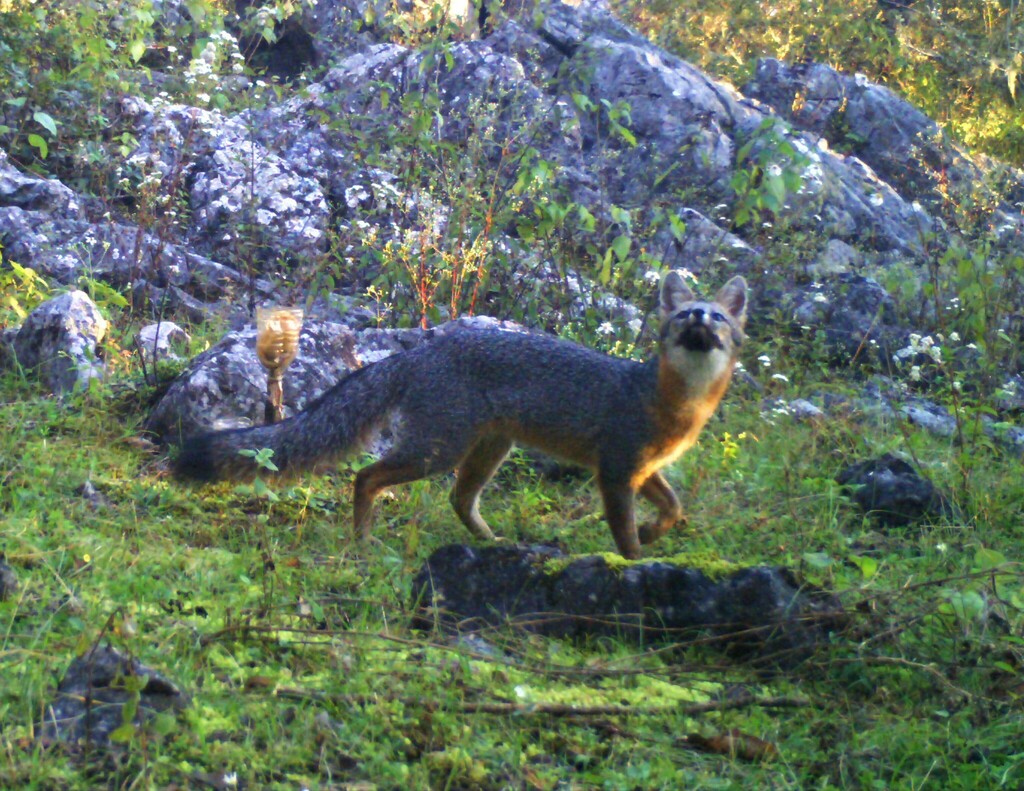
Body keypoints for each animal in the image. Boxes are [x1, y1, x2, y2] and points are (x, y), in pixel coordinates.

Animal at [173, 271, 748, 559]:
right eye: (685, 316)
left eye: (717, 319)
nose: (699, 317)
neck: (671, 403)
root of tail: (420, 351)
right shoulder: (614, 471)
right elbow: (623, 531)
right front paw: (635, 559)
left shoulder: (642, 470)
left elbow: (674, 507)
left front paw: (654, 533)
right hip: (438, 452)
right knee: (366, 477)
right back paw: (363, 540)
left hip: (487, 450)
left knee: (457, 500)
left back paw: (496, 543)